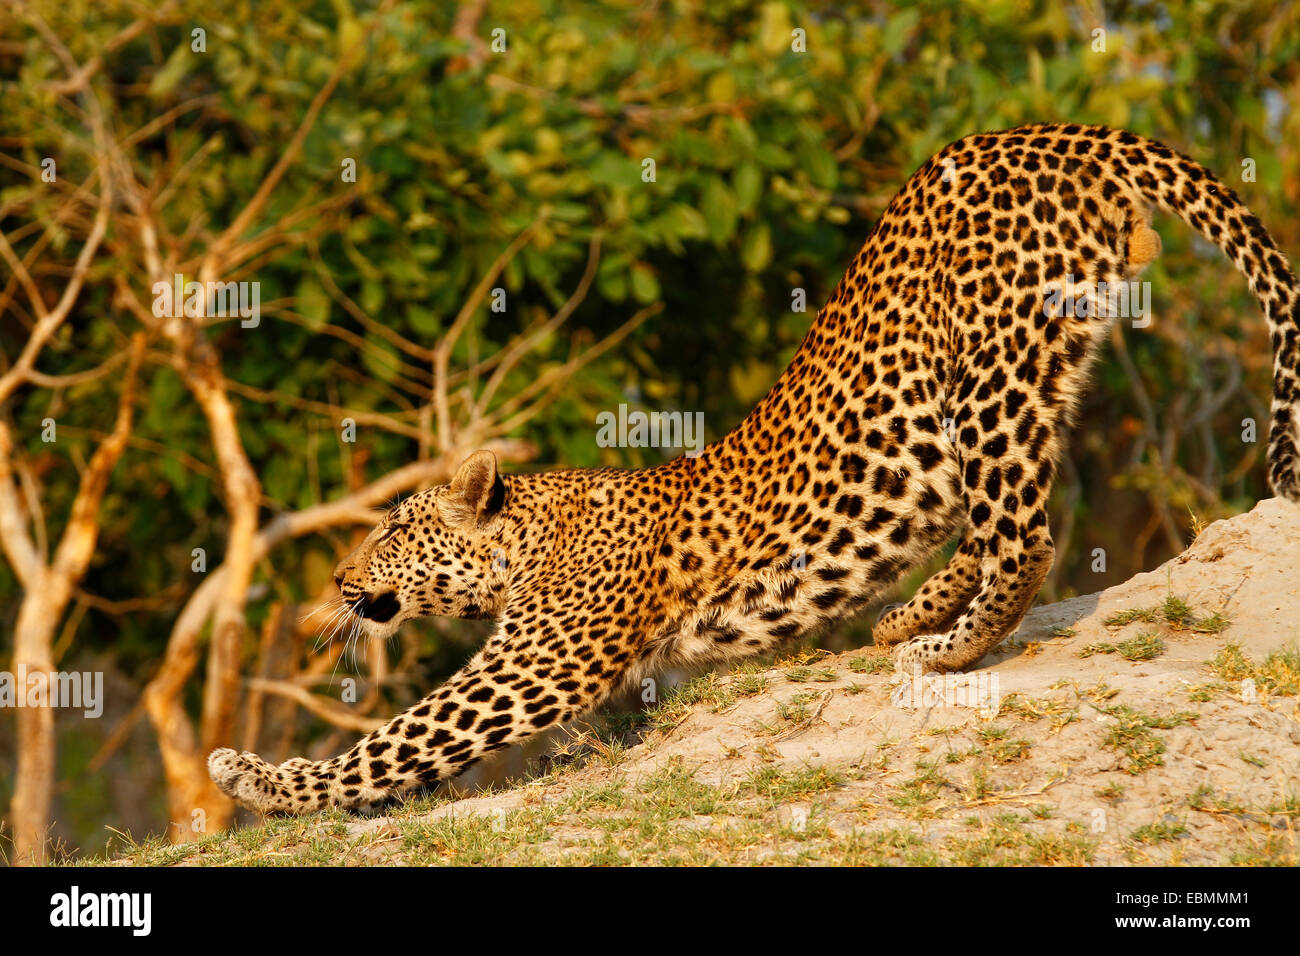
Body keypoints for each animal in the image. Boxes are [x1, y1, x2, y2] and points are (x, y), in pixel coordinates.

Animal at [210, 123, 1299, 816]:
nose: (339, 580)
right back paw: (907, 618)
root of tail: (1059, 132)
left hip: (991, 361)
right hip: (1030, 368)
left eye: (395, 528)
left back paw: (942, 649)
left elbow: (397, 739)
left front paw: (260, 780)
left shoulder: (535, 663)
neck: (529, 537)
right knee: (997, 517)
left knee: (1025, 534)